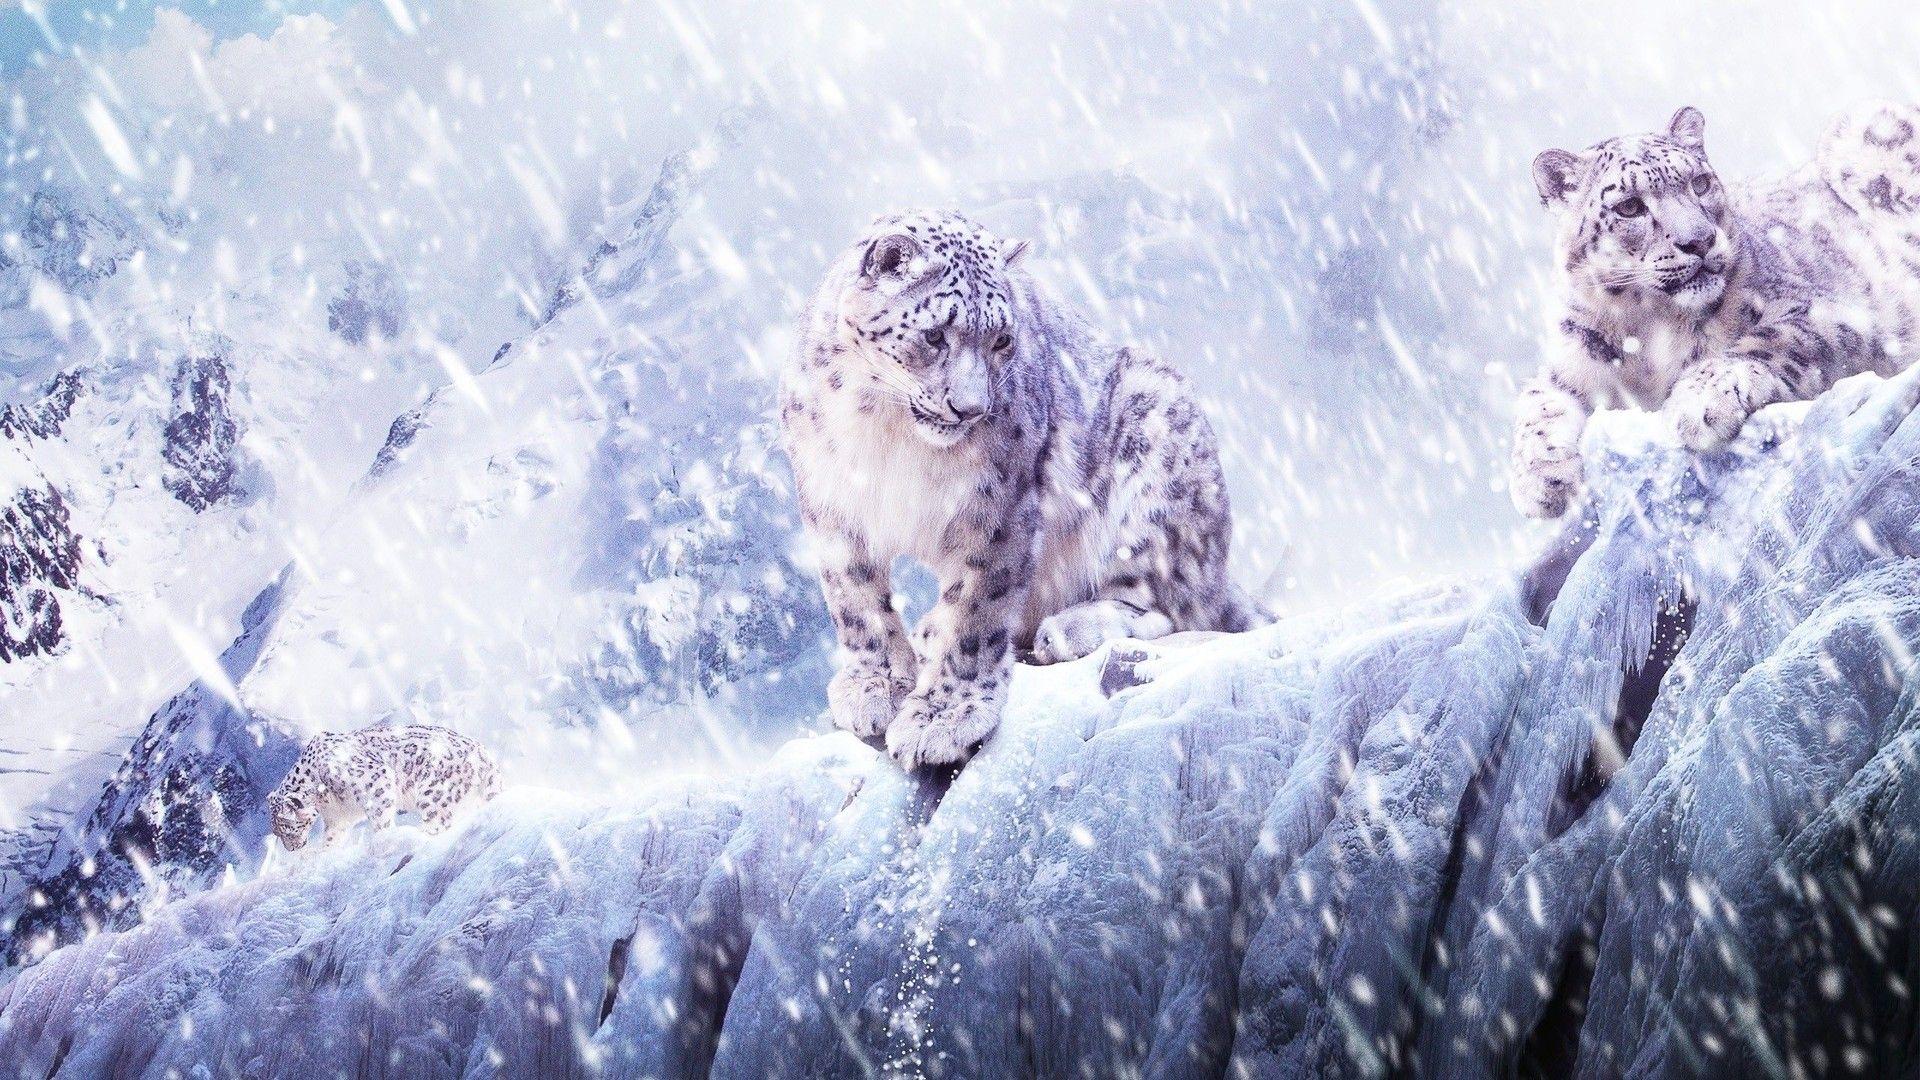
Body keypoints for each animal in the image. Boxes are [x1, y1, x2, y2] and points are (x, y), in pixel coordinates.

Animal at [266, 725, 500, 850]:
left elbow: (380, 818)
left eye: (287, 826)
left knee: (440, 821)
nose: (292, 849)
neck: (324, 801)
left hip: (433, 792)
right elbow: (332, 838)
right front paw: (324, 854)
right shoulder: (338, 817)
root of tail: (485, 754)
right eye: (276, 831)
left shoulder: (375, 780)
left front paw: (384, 838)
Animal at [781, 209, 1258, 770]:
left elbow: (976, 611)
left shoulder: (998, 506)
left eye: (1002, 340)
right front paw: (875, 686)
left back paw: (1067, 629)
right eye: (935, 335)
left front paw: (944, 717)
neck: (885, 428)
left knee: (1171, 603)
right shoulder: (831, 500)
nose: (970, 408)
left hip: (1155, 458)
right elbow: (855, 599)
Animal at [1512, 102, 1920, 519]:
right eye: (1629, 206)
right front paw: (1539, 480)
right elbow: (1537, 400)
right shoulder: (1576, 355)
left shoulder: (1826, 311)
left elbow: (1770, 340)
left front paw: (1699, 402)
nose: (1700, 240)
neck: (1648, 327)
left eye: (1700, 183)